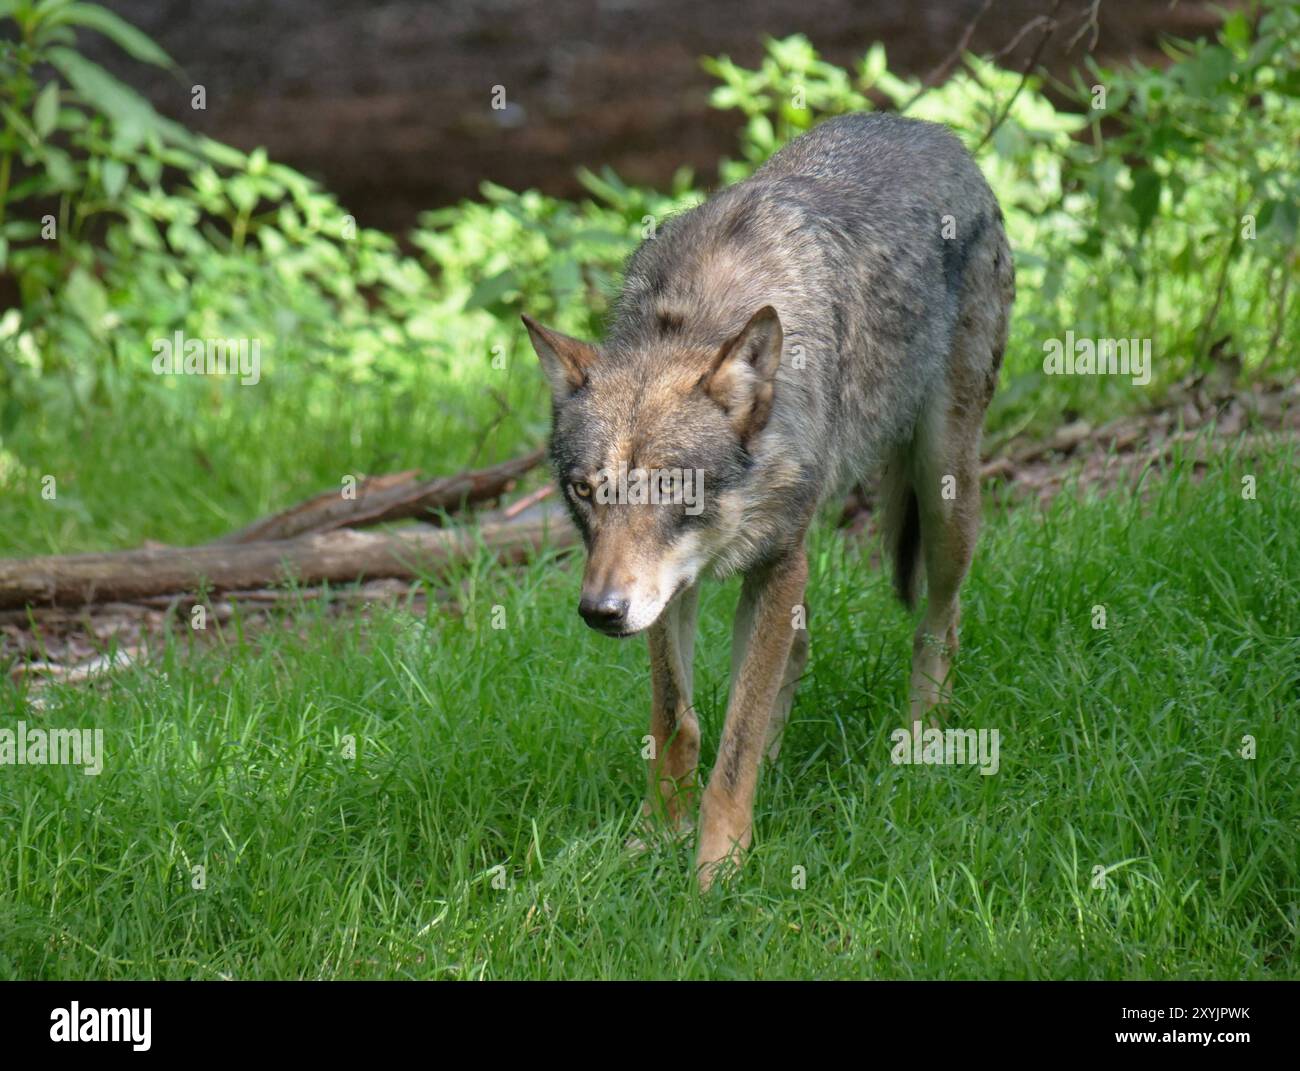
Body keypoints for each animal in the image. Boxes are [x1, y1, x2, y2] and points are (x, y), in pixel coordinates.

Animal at [523, 113, 1015, 889]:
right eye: (584, 490)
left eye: (674, 487)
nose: (600, 612)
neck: (698, 315)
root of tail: (935, 131)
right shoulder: (671, 590)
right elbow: (680, 721)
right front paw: (654, 840)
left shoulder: (778, 561)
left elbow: (736, 738)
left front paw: (716, 870)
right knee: (802, 647)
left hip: (944, 495)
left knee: (941, 622)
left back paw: (920, 745)